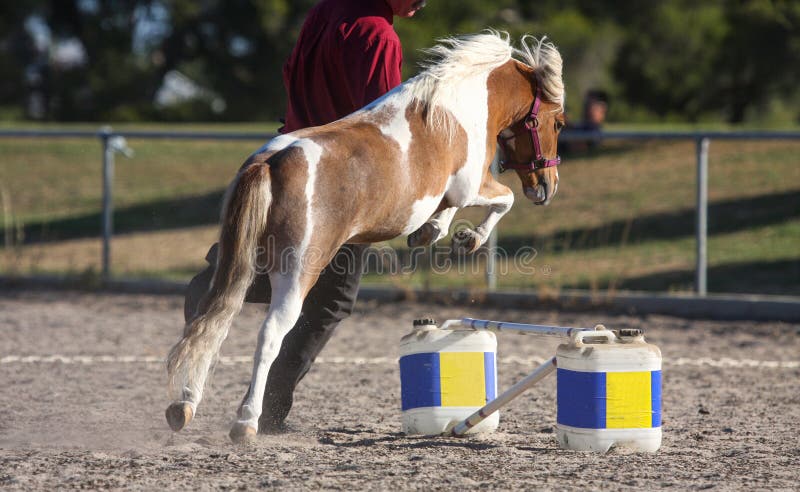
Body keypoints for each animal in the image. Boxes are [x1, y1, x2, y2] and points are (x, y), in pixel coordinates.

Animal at [165, 31, 565, 442]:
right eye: (559, 124)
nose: (547, 186)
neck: (456, 109)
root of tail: (271, 164)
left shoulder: (452, 194)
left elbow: (446, 214)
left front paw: (431, 232)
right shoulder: (470, 187)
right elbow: (503, 200)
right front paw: (468, 238)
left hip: (246, 263)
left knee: (211, 312)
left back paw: (184, 404)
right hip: (297, 272)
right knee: (270, 334)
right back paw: (245, 422)